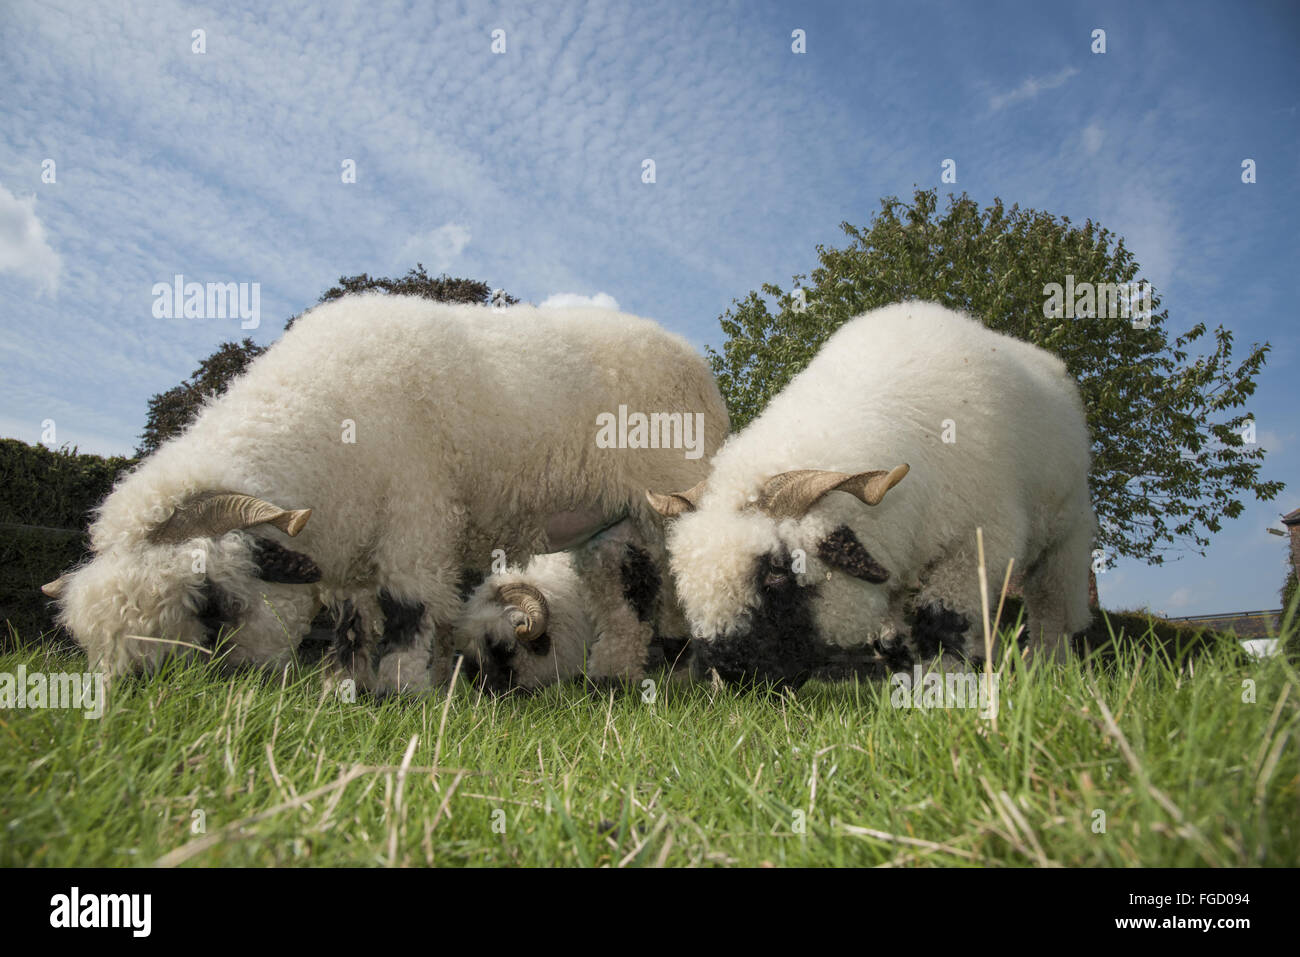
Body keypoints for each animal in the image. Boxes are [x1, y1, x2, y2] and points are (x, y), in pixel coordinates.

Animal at [43, 293, 729, 692]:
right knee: (624, 599)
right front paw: (348, 690)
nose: (145, 697)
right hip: (612, 525)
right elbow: (352, 624)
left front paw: (403, 690)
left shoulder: (416, 512)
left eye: (209, 603)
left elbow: (408, 606)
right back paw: (614, 680)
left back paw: (685, 678)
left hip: (670, 498)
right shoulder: (351, 545)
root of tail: (691, 356)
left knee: (679, 587)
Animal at [647, 301, 1096, 689]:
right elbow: (893, 632)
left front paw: (943, 686)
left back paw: (1049, 669)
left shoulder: (979, 542)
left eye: (776, 571)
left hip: (1066, 535)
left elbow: (944, 619)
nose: (730, 676)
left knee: (1054, 609)